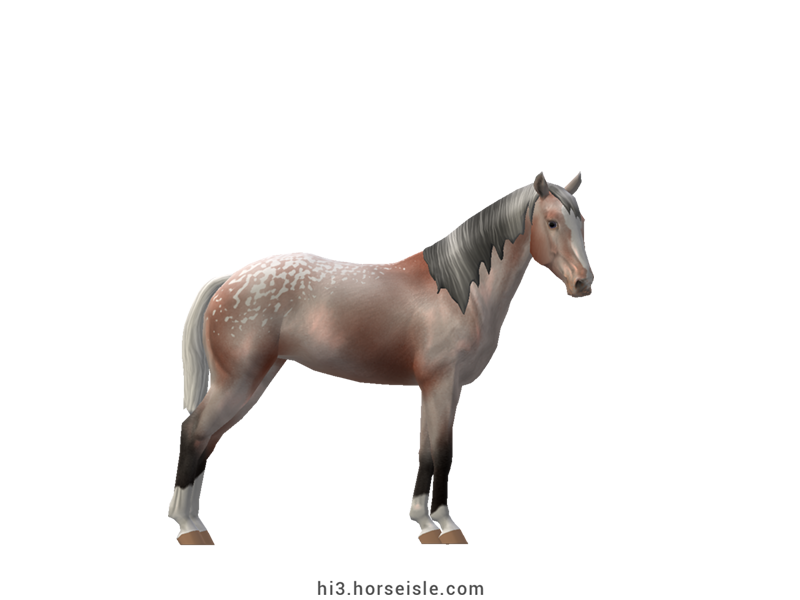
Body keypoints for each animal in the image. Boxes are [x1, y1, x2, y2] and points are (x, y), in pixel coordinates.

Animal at [168, 172, 593, 542]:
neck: (461, 291)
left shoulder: (438, 386)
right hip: (236, 382)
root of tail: (228, 282)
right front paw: (446, 522)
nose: (583, 282)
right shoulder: (440, 381)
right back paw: (186, 526)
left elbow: (427, 450)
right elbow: (443, 450)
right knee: (195, 431)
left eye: (577, 218)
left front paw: (422, 522)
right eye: (553, 222)